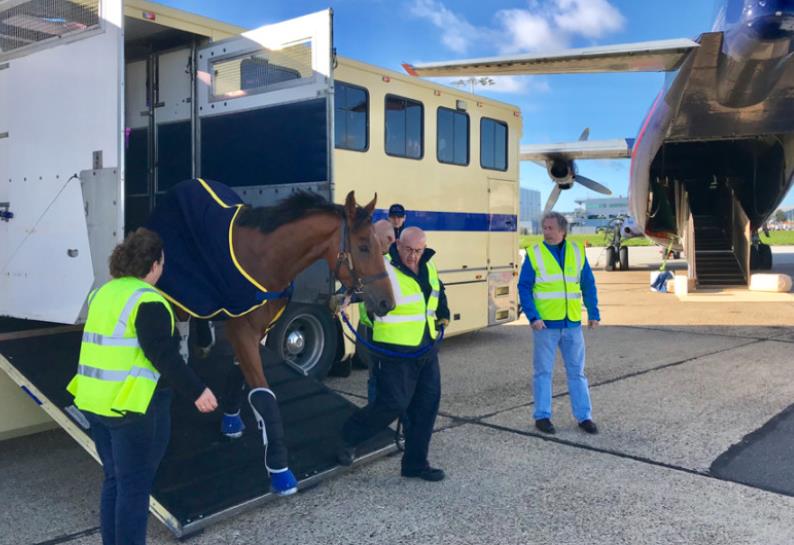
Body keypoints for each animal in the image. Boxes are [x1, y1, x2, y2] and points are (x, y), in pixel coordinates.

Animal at [145, 181, 392, 496]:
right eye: (363, 246)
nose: (387, 303)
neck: (266, 259)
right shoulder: (241, 329)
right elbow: (264, 397)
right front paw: (279, 470)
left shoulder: (258, 329)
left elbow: (241, 372)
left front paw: (230, 419)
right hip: (180, 287)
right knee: (180, 319)